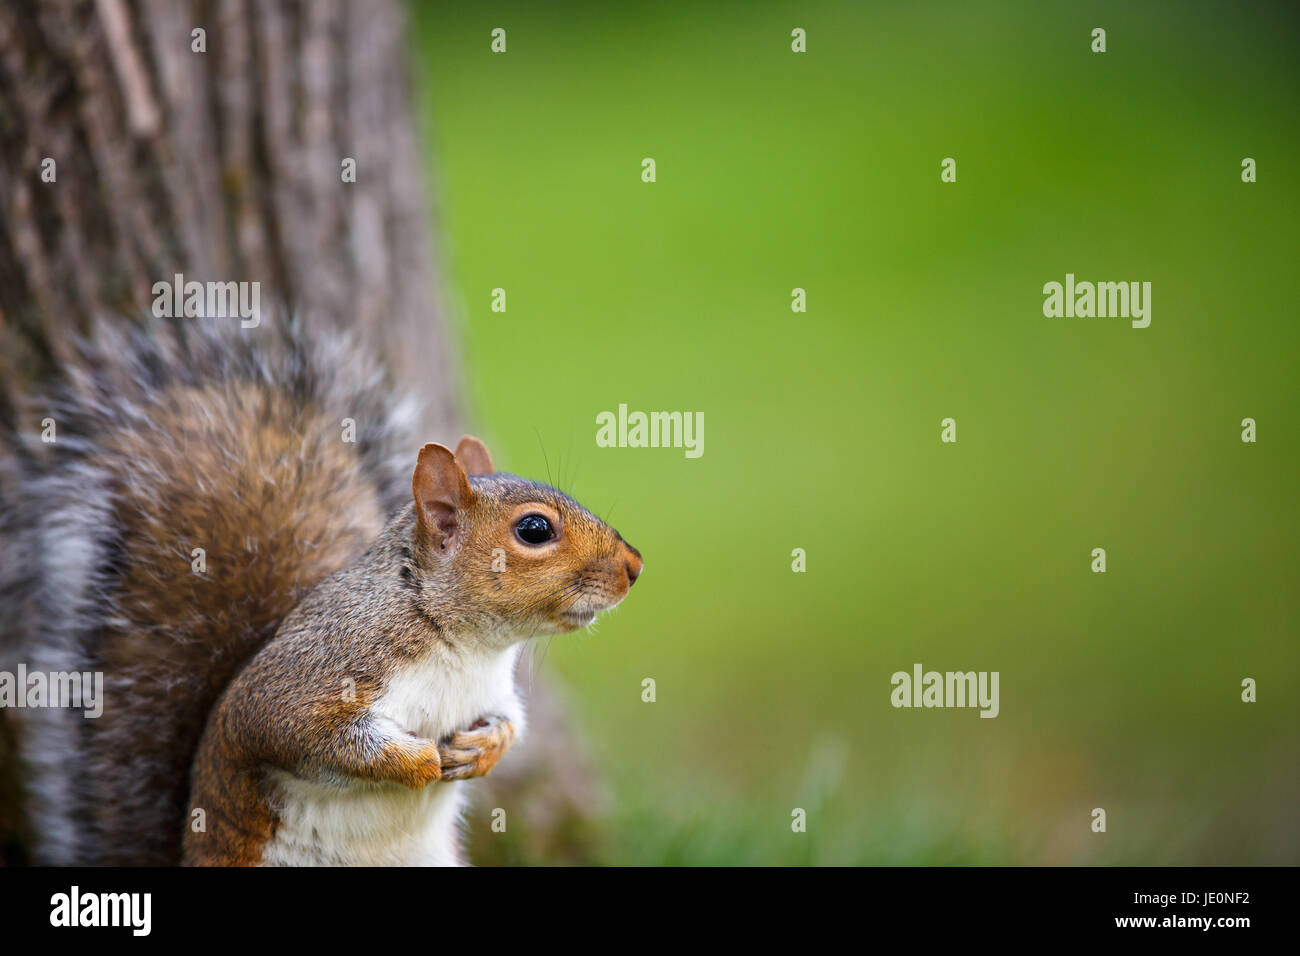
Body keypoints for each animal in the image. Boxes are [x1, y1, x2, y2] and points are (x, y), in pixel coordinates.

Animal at [0, 314, 641, 866]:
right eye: (534, 530)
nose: (634, 566)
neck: (462, 643)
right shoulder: (317, 672)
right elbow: (301, 731)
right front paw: (418, 760)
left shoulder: (493, 691)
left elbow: (510, 721)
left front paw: (484, 751)